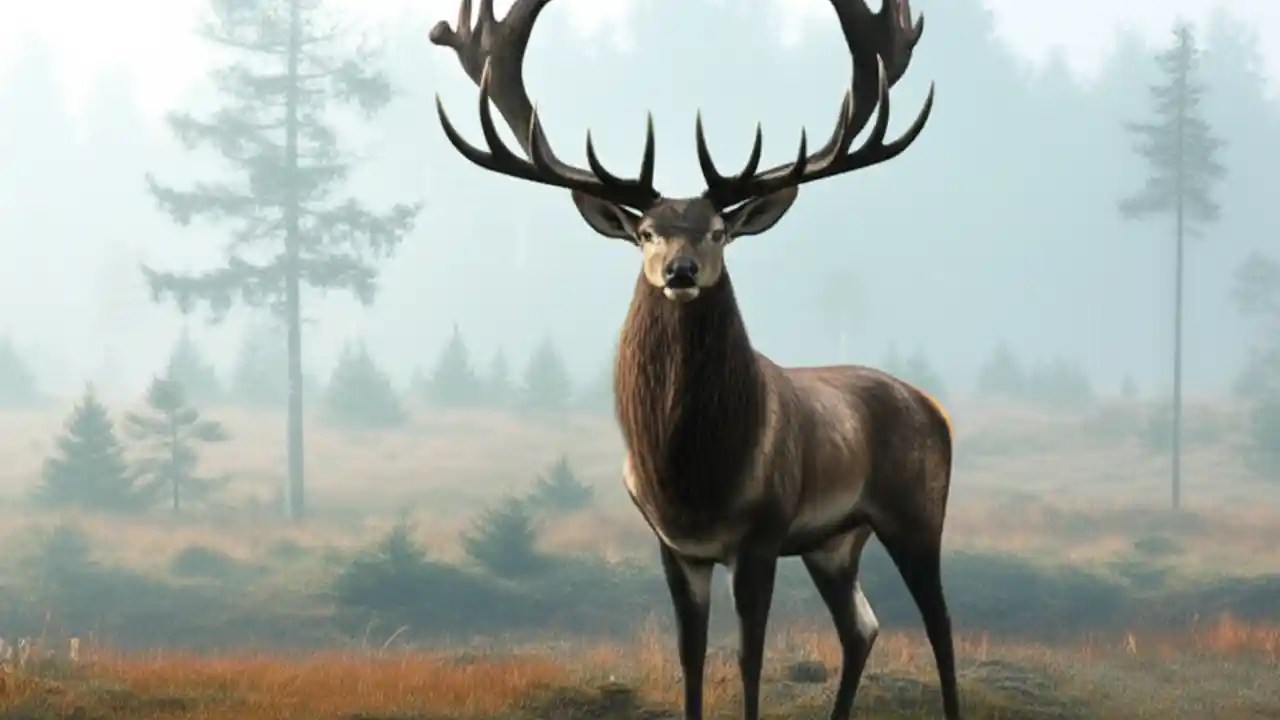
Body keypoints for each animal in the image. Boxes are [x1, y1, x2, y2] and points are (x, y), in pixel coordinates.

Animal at [429, 1, 959, 718]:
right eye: (647, 233)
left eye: (717, 232)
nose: (680, 271)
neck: (692, 477)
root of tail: (935, 409)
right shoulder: (674, 545)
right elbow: (690, 659)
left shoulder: (762, 533)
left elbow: (750, 660)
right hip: (833, 540)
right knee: (861, 627)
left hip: (916, 510)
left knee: (940, 627)